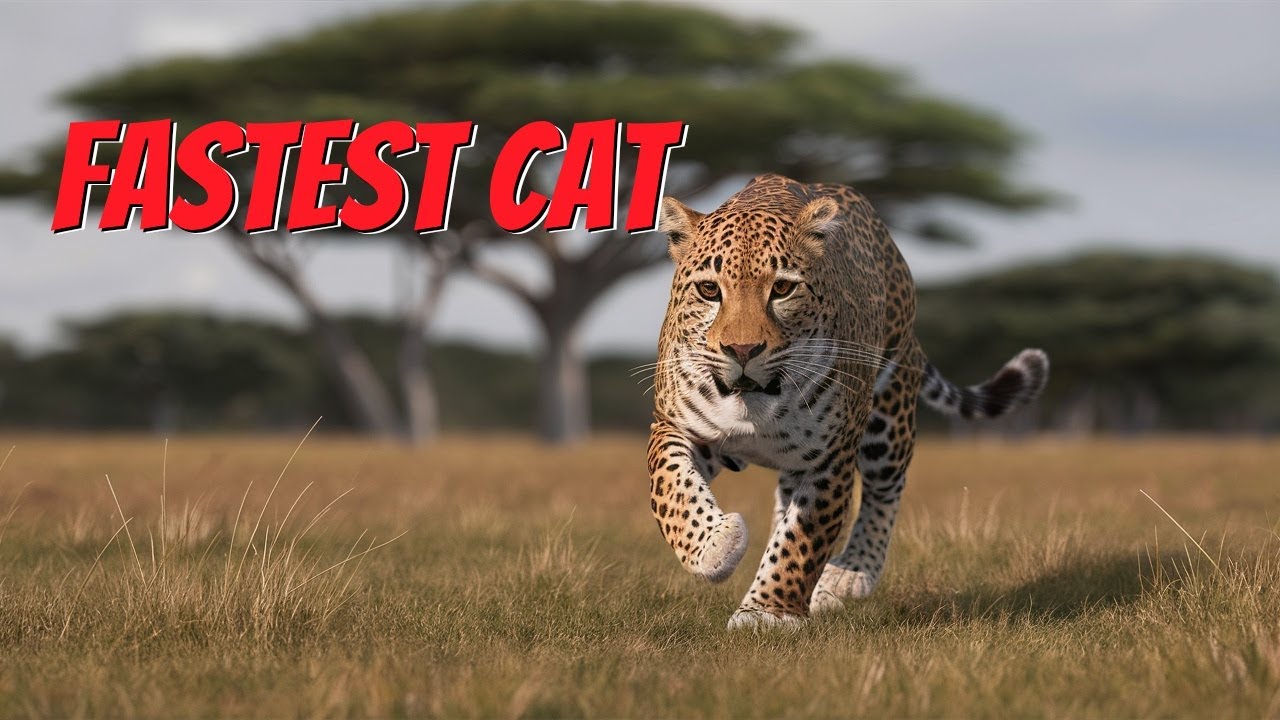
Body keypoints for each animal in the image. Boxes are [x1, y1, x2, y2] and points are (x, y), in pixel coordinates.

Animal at [646, 173, 1049, 630]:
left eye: (782, 288)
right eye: (709, 290)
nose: (742, 350)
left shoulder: (832, 456)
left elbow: (803, 539)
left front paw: (768, 613)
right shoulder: (674, 425)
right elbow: (672, 487)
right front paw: (713, 547)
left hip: (887, 418)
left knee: (885, 488)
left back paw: (850, 572)